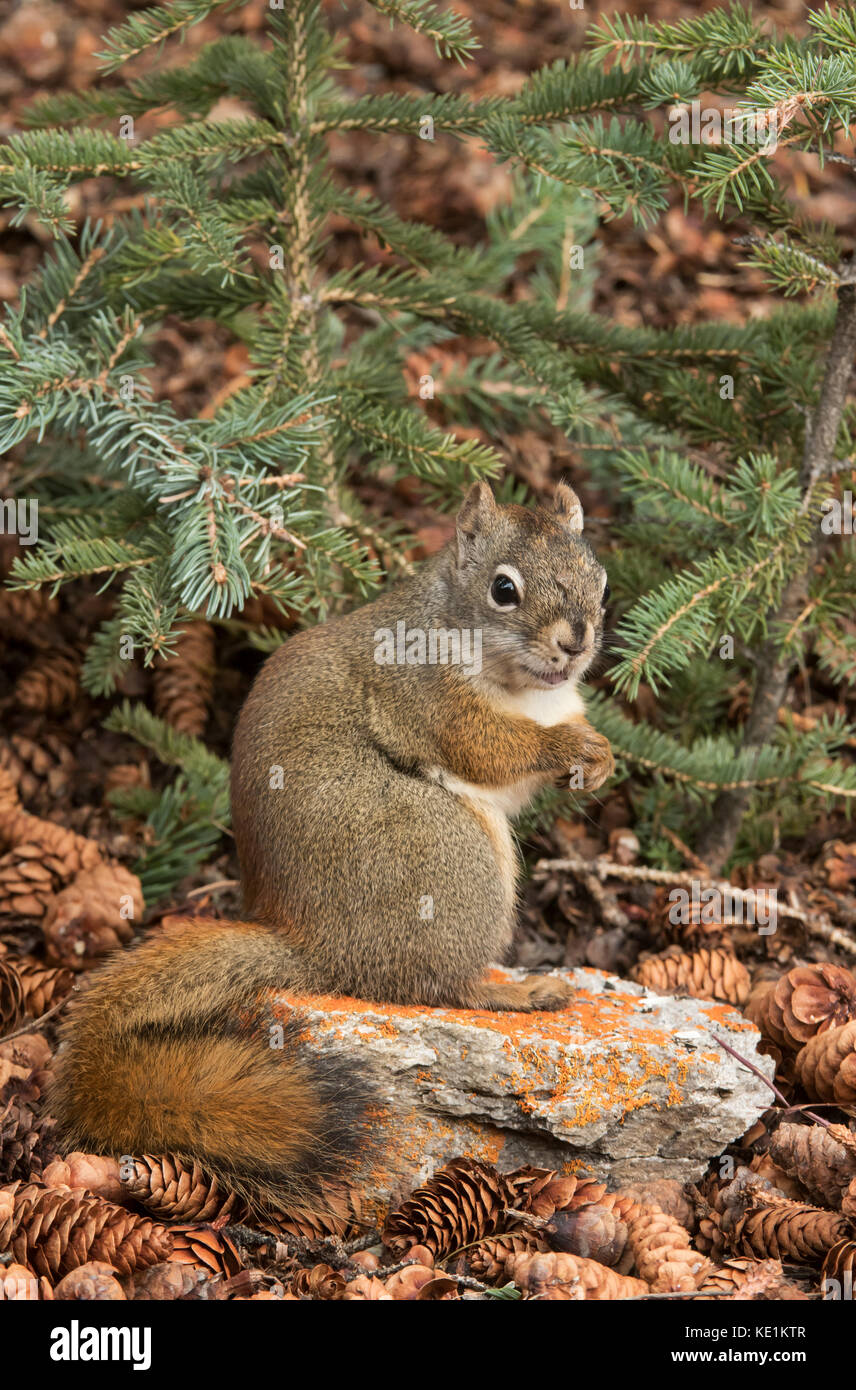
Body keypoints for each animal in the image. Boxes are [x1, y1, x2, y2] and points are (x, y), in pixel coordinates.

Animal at [49, 481, 614, 1214]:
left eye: (600, 580)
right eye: (503, 590)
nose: (576, 643)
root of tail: (312, 948)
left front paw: (598, 758)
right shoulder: (426, 694)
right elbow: (486, 746)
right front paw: (568, 746)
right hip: (448, 859)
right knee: (439, 985)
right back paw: (514, 992)